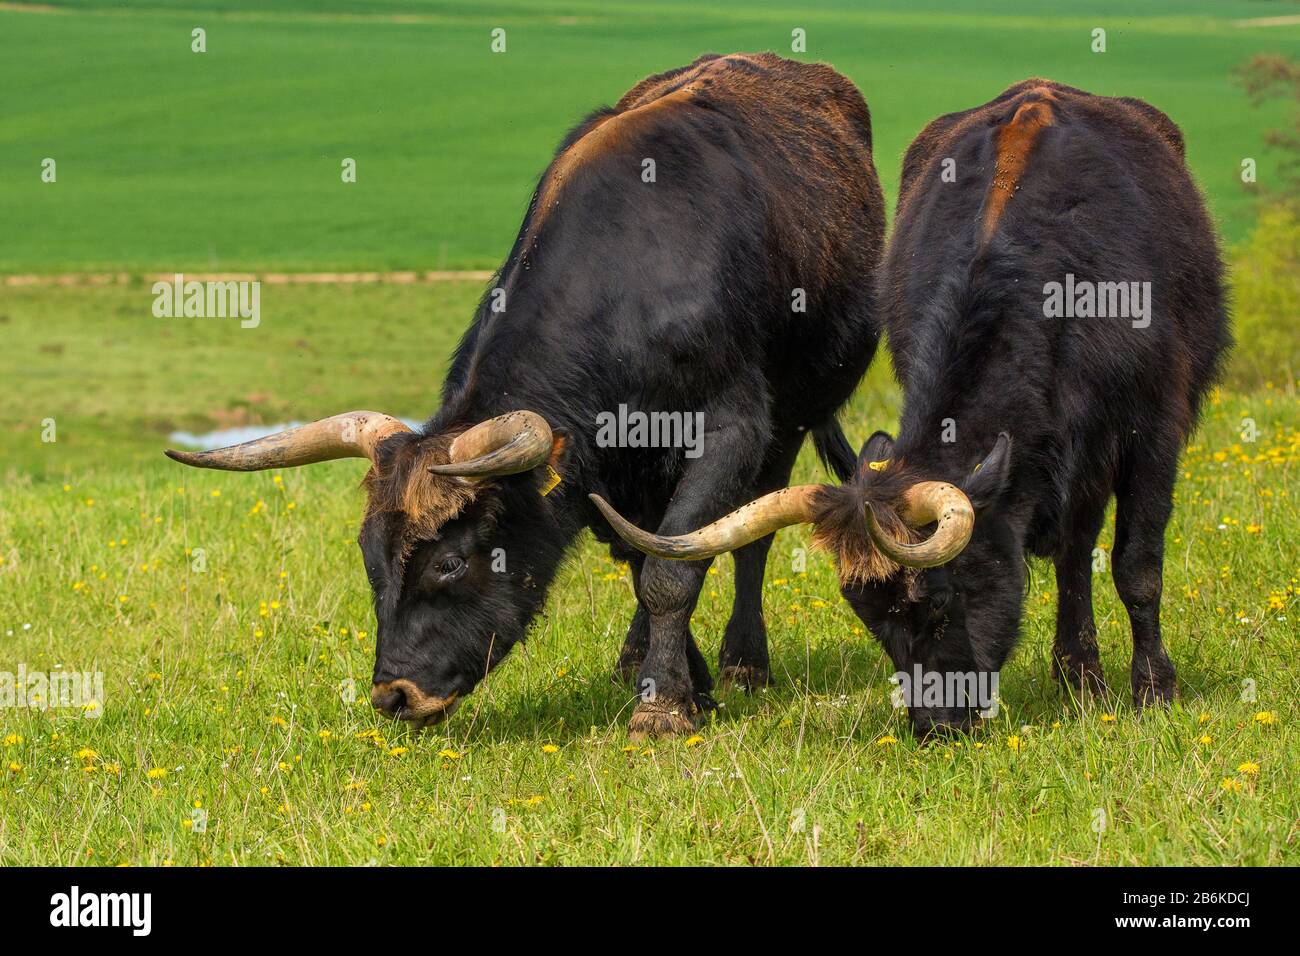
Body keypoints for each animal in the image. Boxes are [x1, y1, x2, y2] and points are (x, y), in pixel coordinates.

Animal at [166, 53, 886, 738]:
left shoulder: (729, 433)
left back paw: (745, 662)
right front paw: (679, 683)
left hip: (792, 420)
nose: (395, 695)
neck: (632, 287)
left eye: (451, 562)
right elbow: (645, 559)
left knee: (748, 540)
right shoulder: (600, 470)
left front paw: (665, 708)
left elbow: (676, 567)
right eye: (371, 557)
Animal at [592, 79, 1230, 737]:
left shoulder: (1153, 431)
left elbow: (1136, 566)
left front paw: (1154, 688)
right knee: (1074, 551)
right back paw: (1079, 674)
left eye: (939, 599)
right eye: (871, 617)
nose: (934, 723)